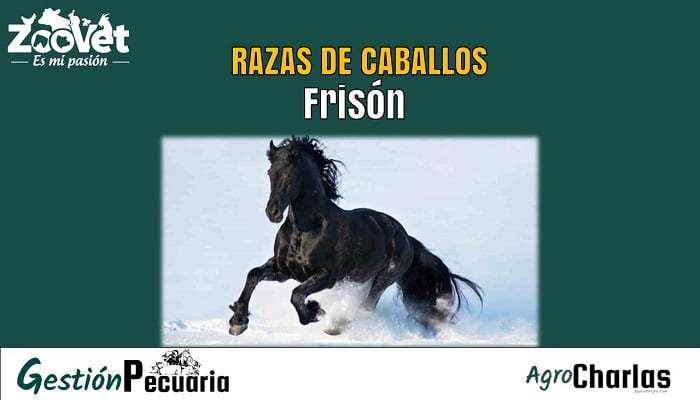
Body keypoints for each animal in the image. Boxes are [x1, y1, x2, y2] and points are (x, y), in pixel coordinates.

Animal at [228, 137, 483, 336]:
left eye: (290, 174)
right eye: (270, 173)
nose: (272, 212)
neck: (305, 229)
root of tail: (407, 238)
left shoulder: (327, 276)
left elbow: (297, 294)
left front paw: (314, 311)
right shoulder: (283, 271)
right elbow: (254, 275)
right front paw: (238, 321)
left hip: (382, 279)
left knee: (367, 306)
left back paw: (336, 326)